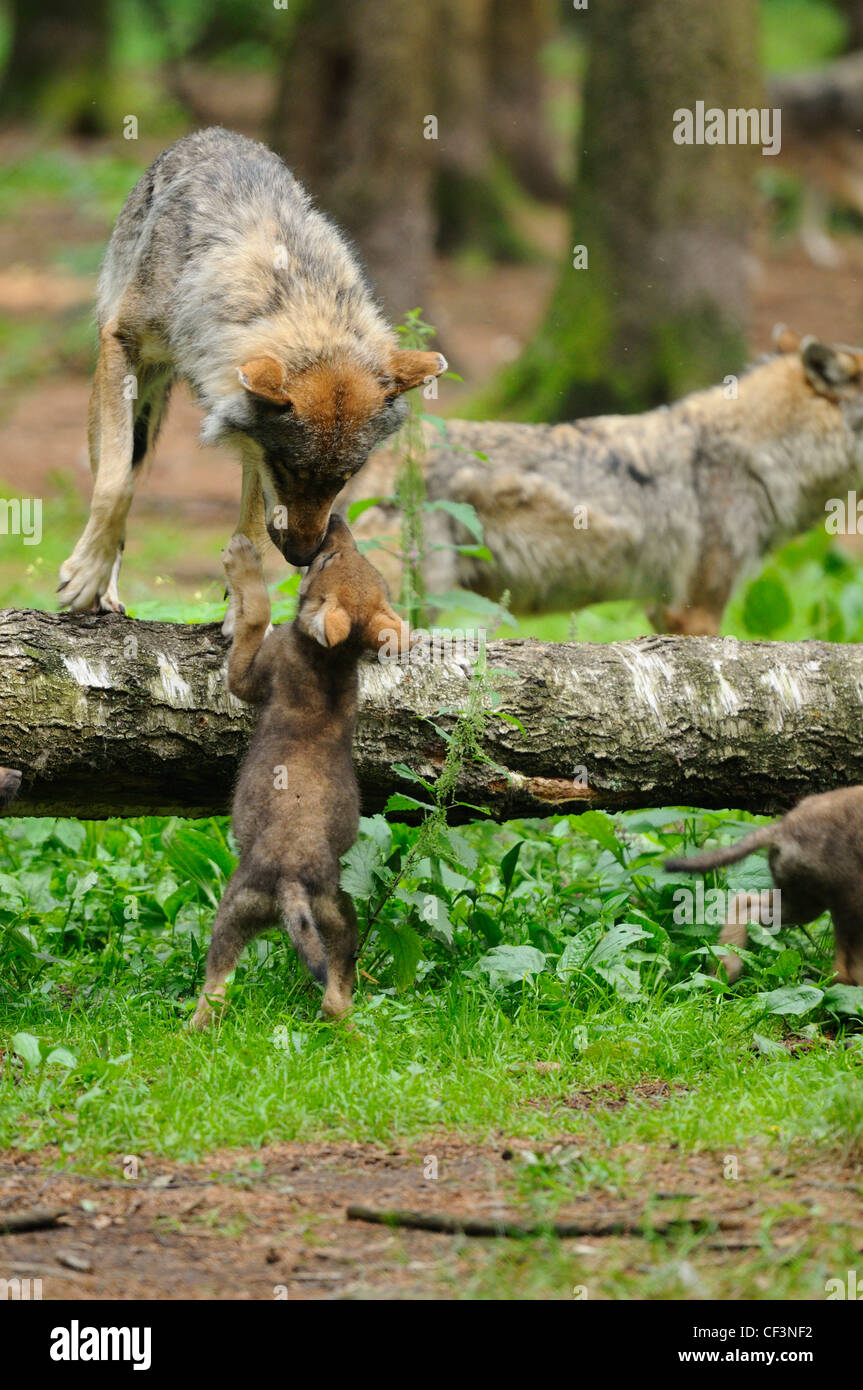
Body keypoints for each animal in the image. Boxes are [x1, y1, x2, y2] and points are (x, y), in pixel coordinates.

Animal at [57, 127, 445, 626]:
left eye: (346, 477)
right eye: (289, 468)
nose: (302, 557)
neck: (287, 287)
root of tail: (215, 132)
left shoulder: (253, 438)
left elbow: (250, 529)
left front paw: (246, 607)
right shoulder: (123, 345)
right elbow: (116, 485)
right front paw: (87, 575)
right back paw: (103, 587)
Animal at [190, 517, 408, 1030]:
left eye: (326, 560)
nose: (337, 522)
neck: (331, 661)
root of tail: (290, 878)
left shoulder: (247, 675)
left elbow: (255, 614)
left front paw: (244, 561)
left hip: (233, 911)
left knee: (215, 994)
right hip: (340, 920)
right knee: (335, 997)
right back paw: (353, 1033)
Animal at [665, 786, 863, 986]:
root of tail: (784, 826)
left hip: (805, 899)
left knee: (744, 903)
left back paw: (725, 969)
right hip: (844, 896)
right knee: (846, 965)